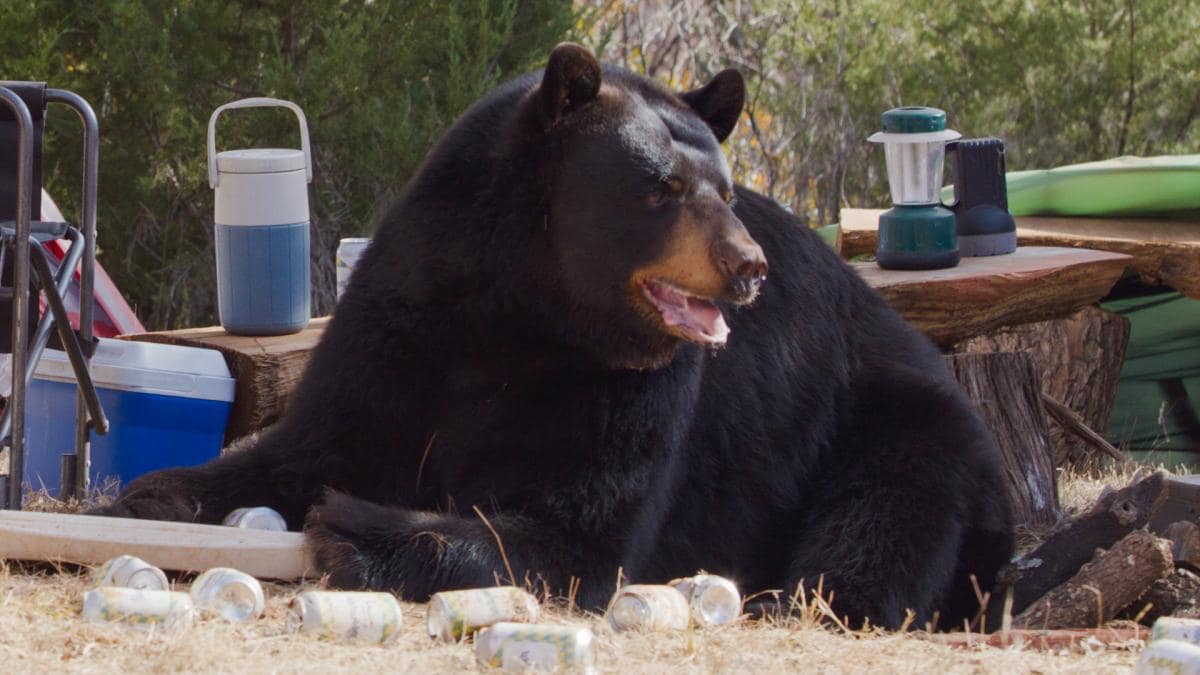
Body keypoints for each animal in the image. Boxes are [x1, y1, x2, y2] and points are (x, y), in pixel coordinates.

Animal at [93, 43, 1013, 630]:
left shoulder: (629, 382)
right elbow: (318, 437)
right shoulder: (404, 317)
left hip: (900, 427)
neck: (527, 308)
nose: (748, 267)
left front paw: (358, 526)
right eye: (663, 186)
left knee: (877, 525)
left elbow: (576, 526)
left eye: (725, 190)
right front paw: (153, 494)